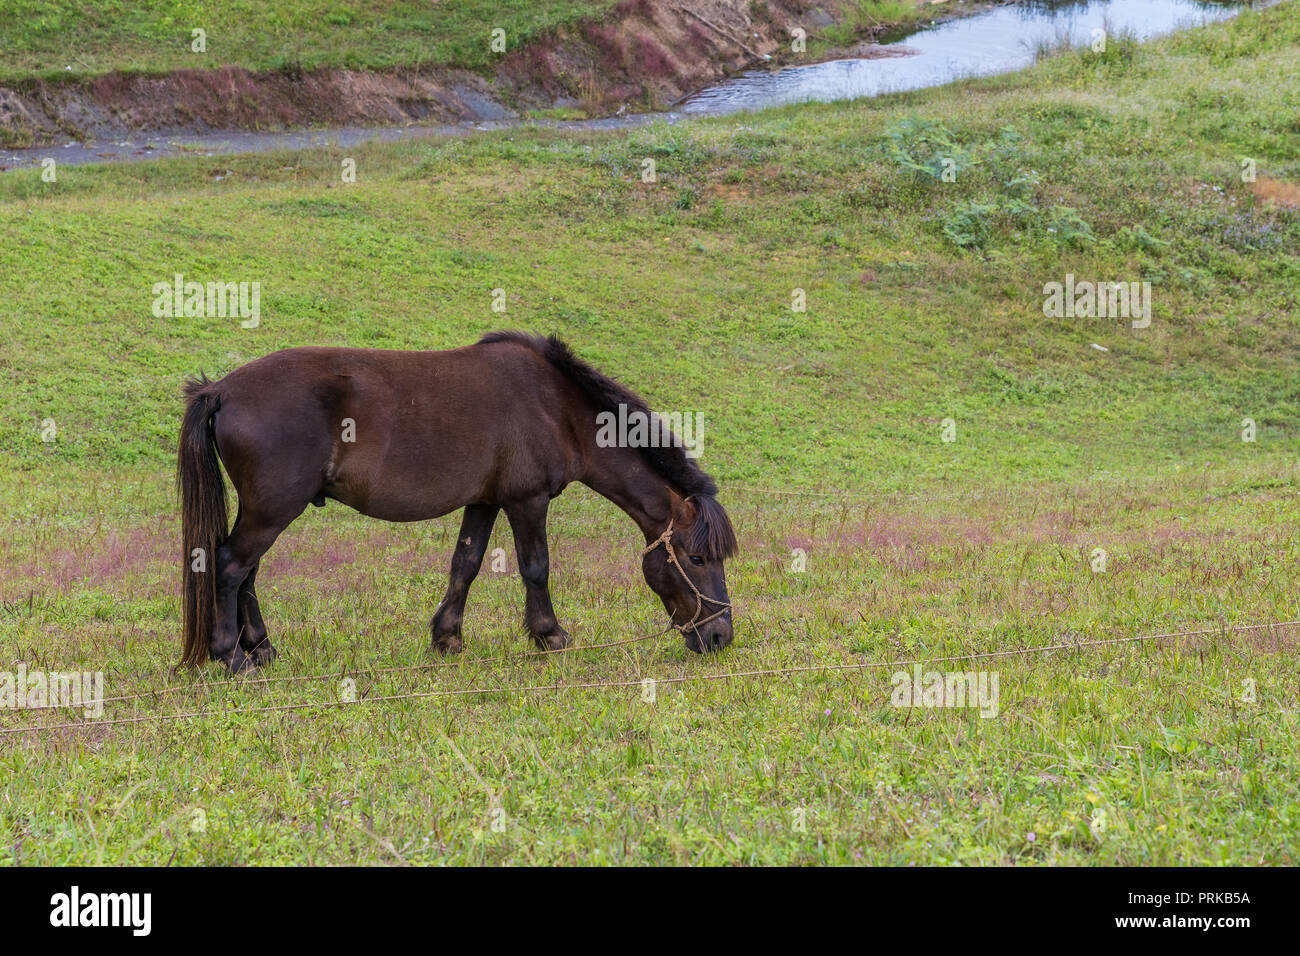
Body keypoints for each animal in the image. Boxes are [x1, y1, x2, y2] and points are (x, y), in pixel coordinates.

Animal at [177, 331, 738, 673]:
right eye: (695, 558)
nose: (719, 637)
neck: (554, 405)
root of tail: (221, 390)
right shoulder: (527, 500)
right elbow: (536, 567)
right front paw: (550, 636)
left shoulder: (485, 502)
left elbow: (464, 565)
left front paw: (447, 638)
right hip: (272, 511)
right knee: (230, 567)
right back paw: (232, 657)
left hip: (265, 511)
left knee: (246, 574)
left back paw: (262, 649)